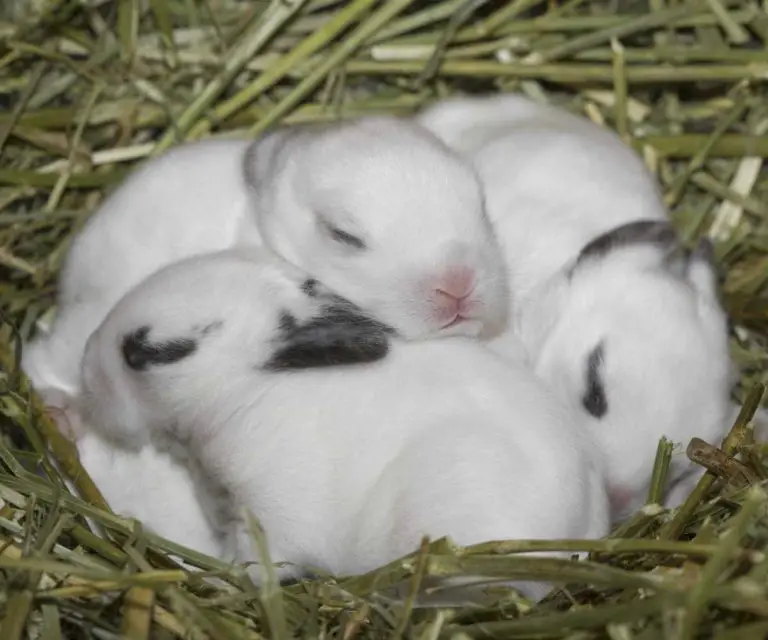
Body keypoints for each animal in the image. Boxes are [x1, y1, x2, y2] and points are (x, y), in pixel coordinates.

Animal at [77, 247, 609, 603]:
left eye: (147, 352)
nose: (84, 366)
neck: (248, 394)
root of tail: (576, 536)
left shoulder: (271, 518)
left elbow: (253, 565)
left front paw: (212, 578)